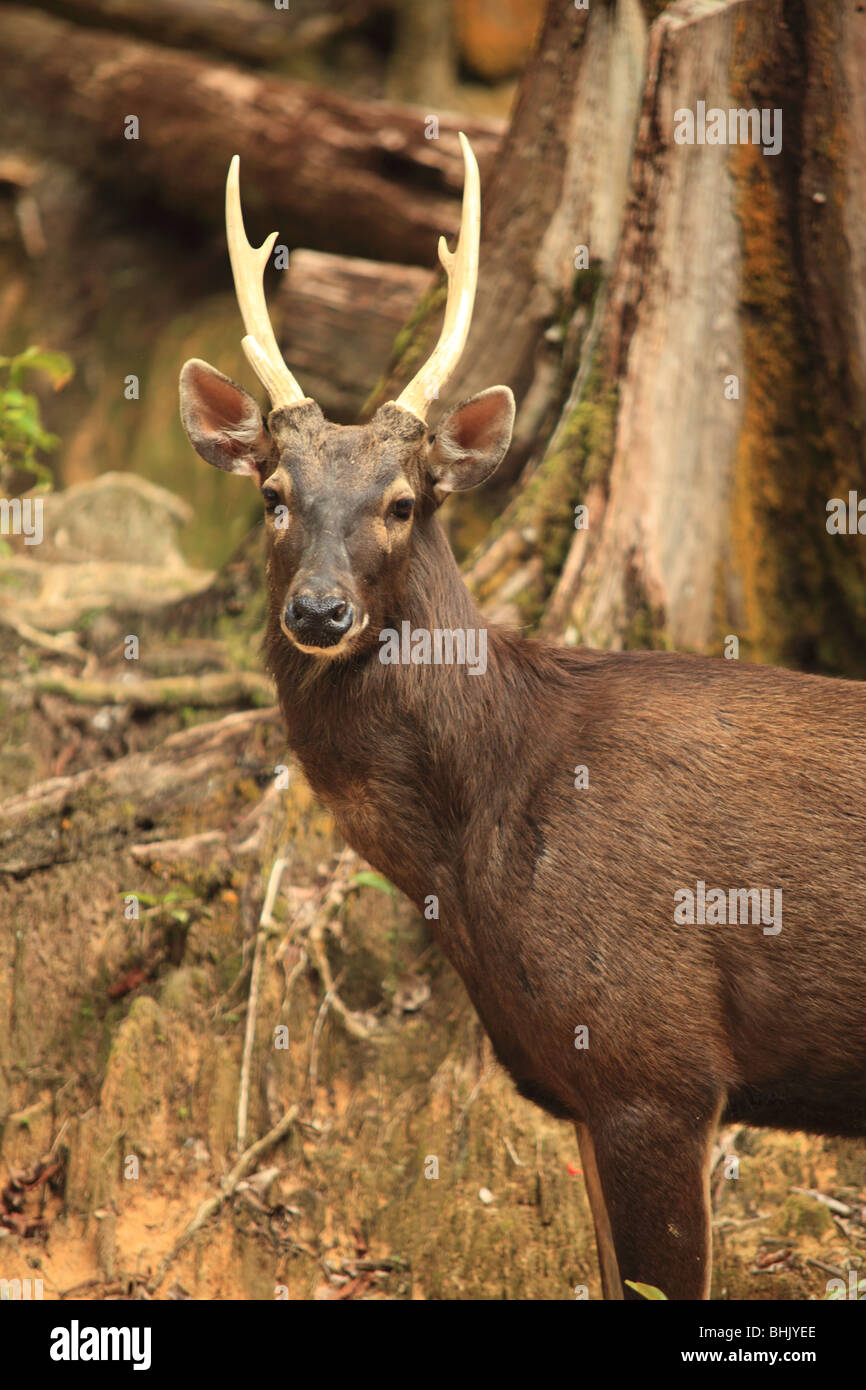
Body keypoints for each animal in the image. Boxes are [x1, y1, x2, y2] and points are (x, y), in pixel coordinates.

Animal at [179, 134, 866, 1300]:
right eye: (273, 494)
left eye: (402, 503)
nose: (319, 609)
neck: (471, 840)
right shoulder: (582, 1079)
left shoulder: (655, 1063)